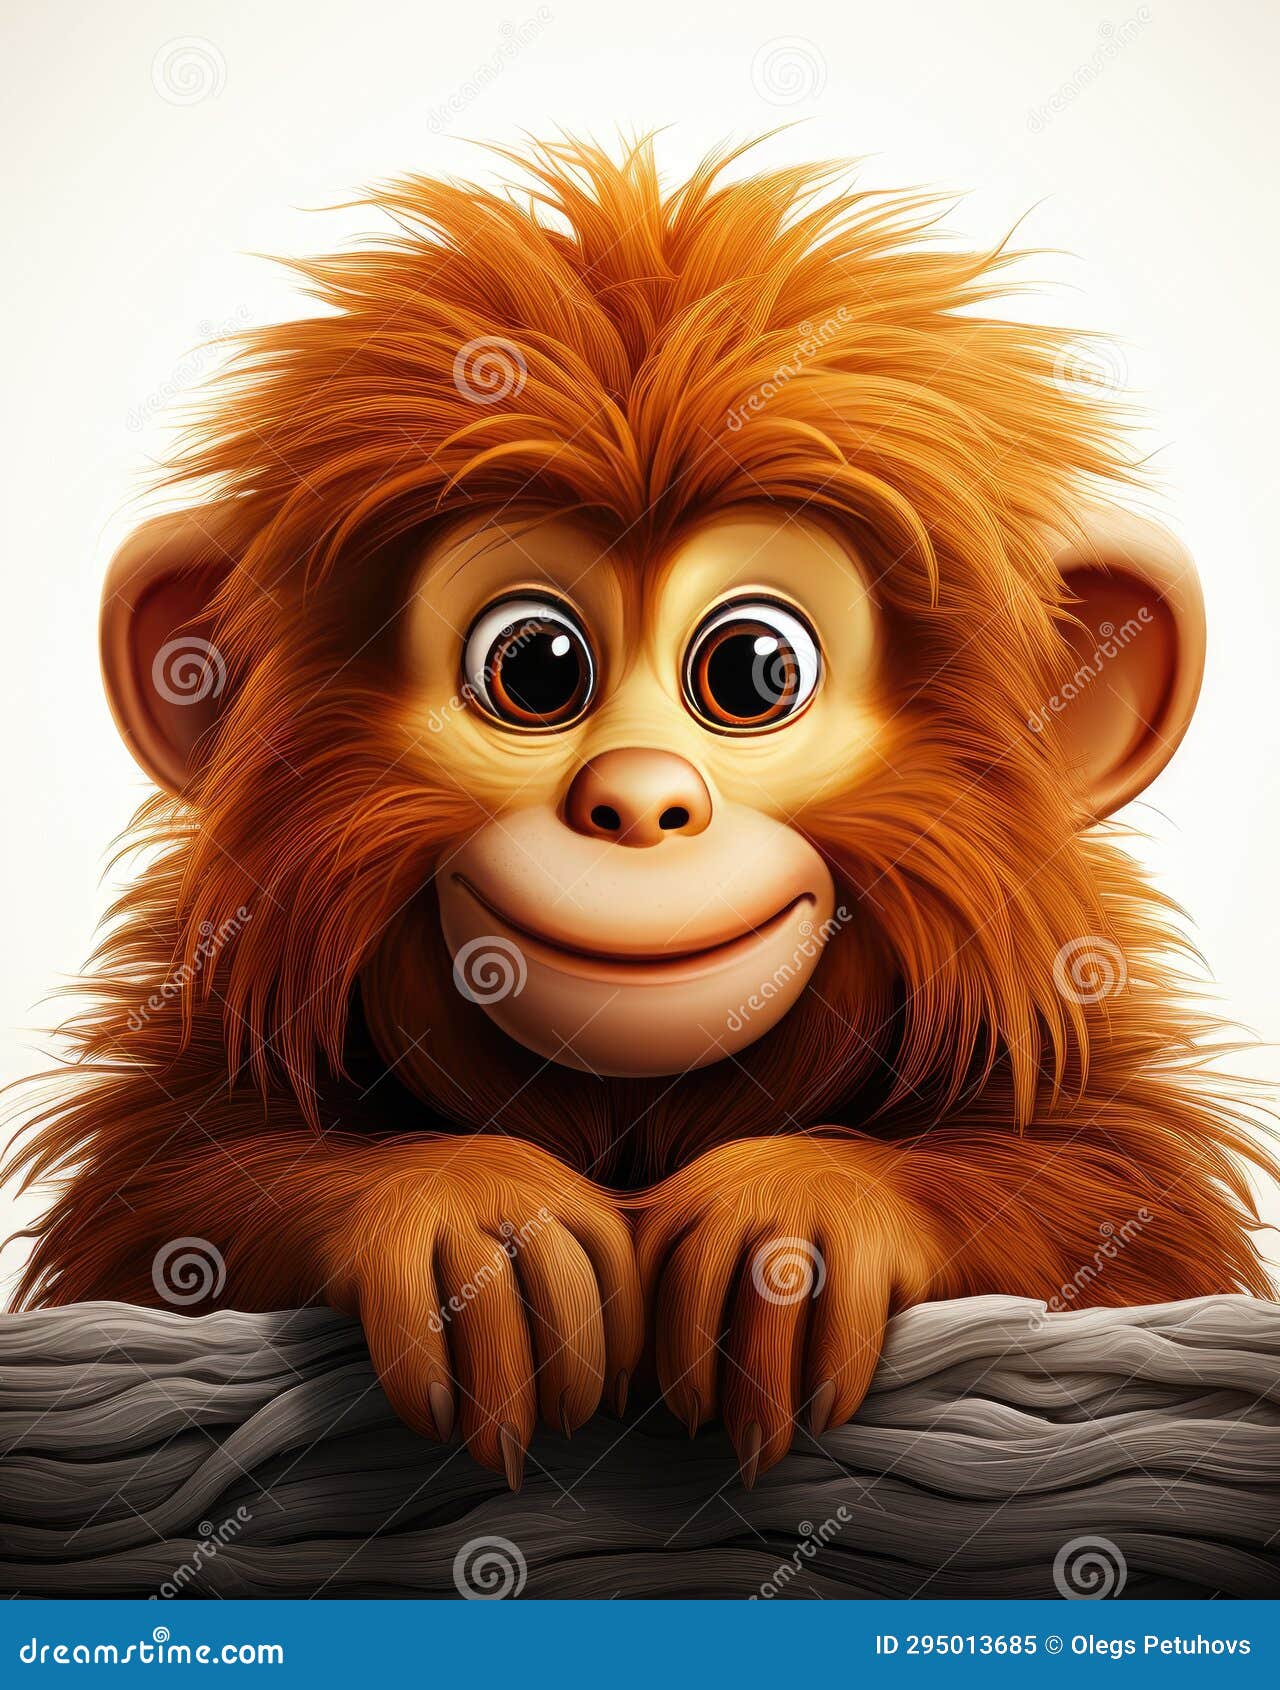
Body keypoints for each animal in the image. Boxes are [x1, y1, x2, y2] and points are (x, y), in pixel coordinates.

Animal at [7, 136, 1275, 1492]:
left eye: (755, 672)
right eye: (536, 668)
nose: (636, 801)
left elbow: (1139, 1219)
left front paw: (804, 1210)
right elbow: (148, 1219)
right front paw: (463, 1212)